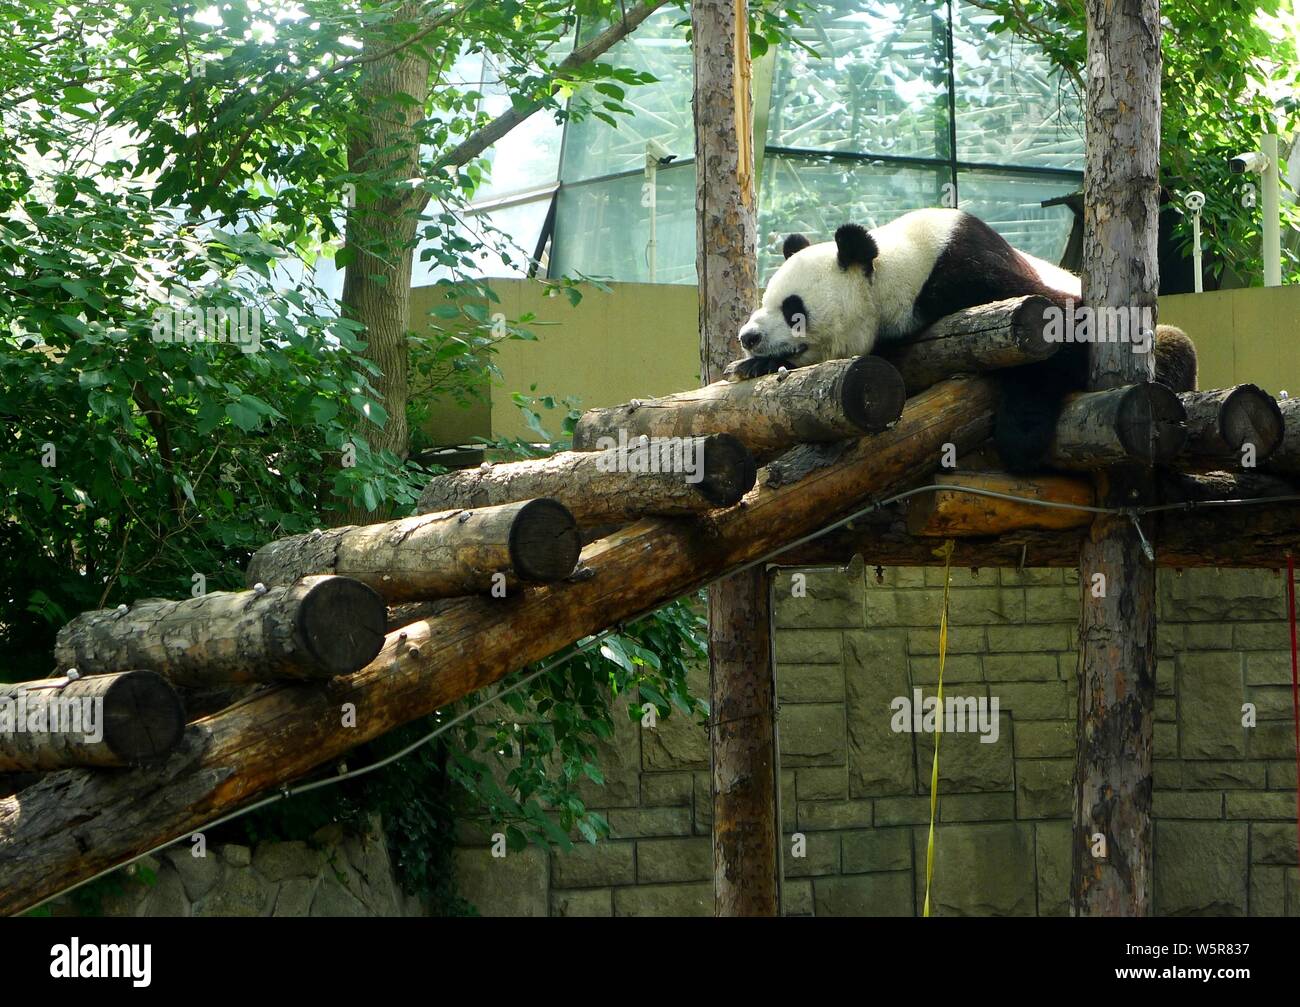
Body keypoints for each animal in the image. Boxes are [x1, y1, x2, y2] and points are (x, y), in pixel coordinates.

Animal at [726, 207, 1198, 472]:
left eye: (793, 310)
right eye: (765, 300)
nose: (749, 336)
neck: (898, 269)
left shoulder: (972, 269)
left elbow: (1059, 331)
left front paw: (1020, 437)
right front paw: (752, 365)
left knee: (1175, 345)